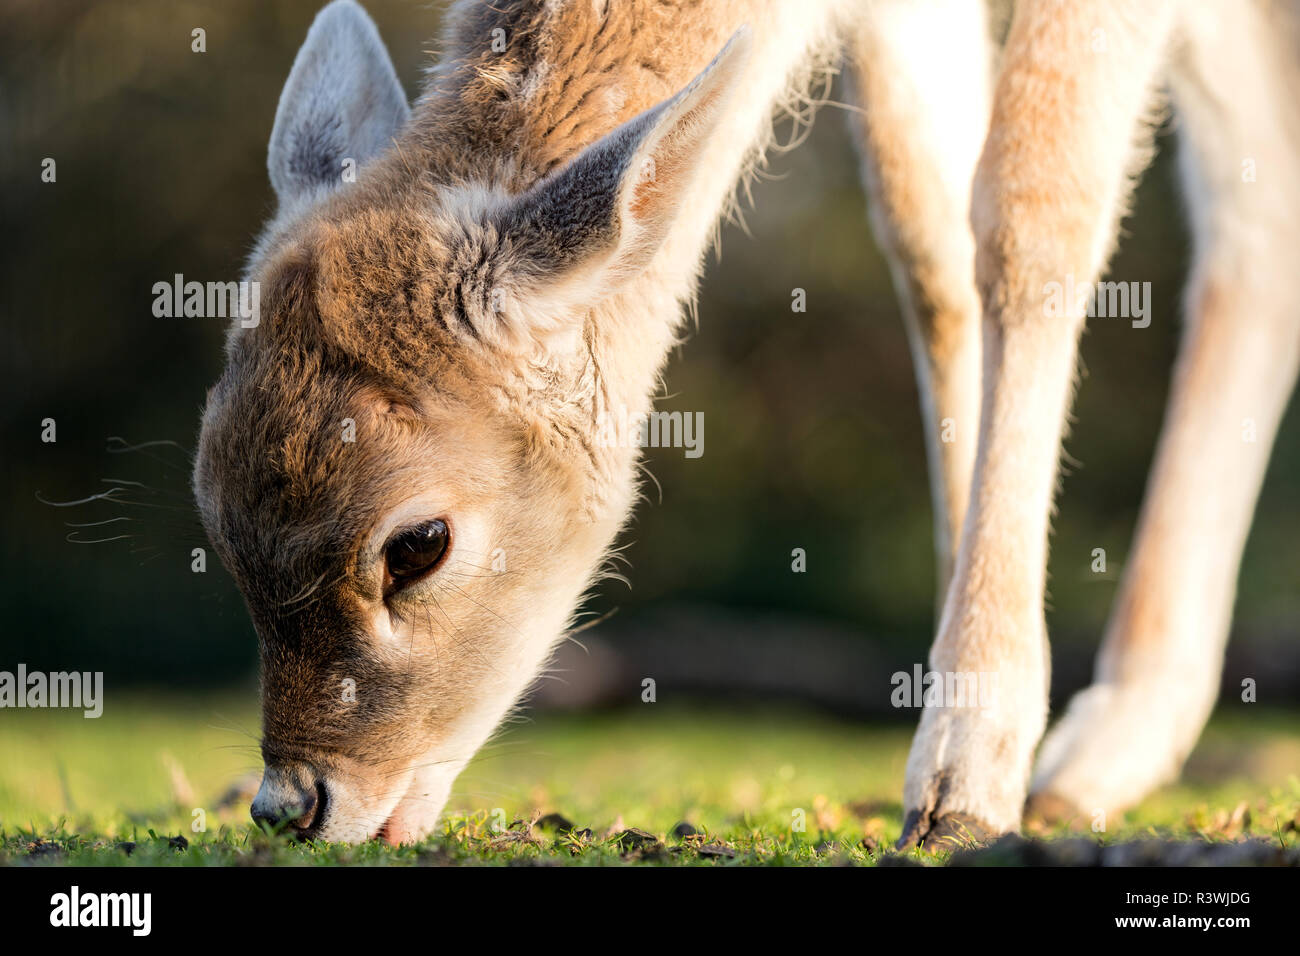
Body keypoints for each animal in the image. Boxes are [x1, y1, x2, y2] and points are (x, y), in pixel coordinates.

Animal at [193, 0, 1300, 849]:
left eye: (418, 543)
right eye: (211, 520)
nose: (293, 805)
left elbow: (1031, 215)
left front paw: (966, 778)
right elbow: (927, 240)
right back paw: (1102, 750)